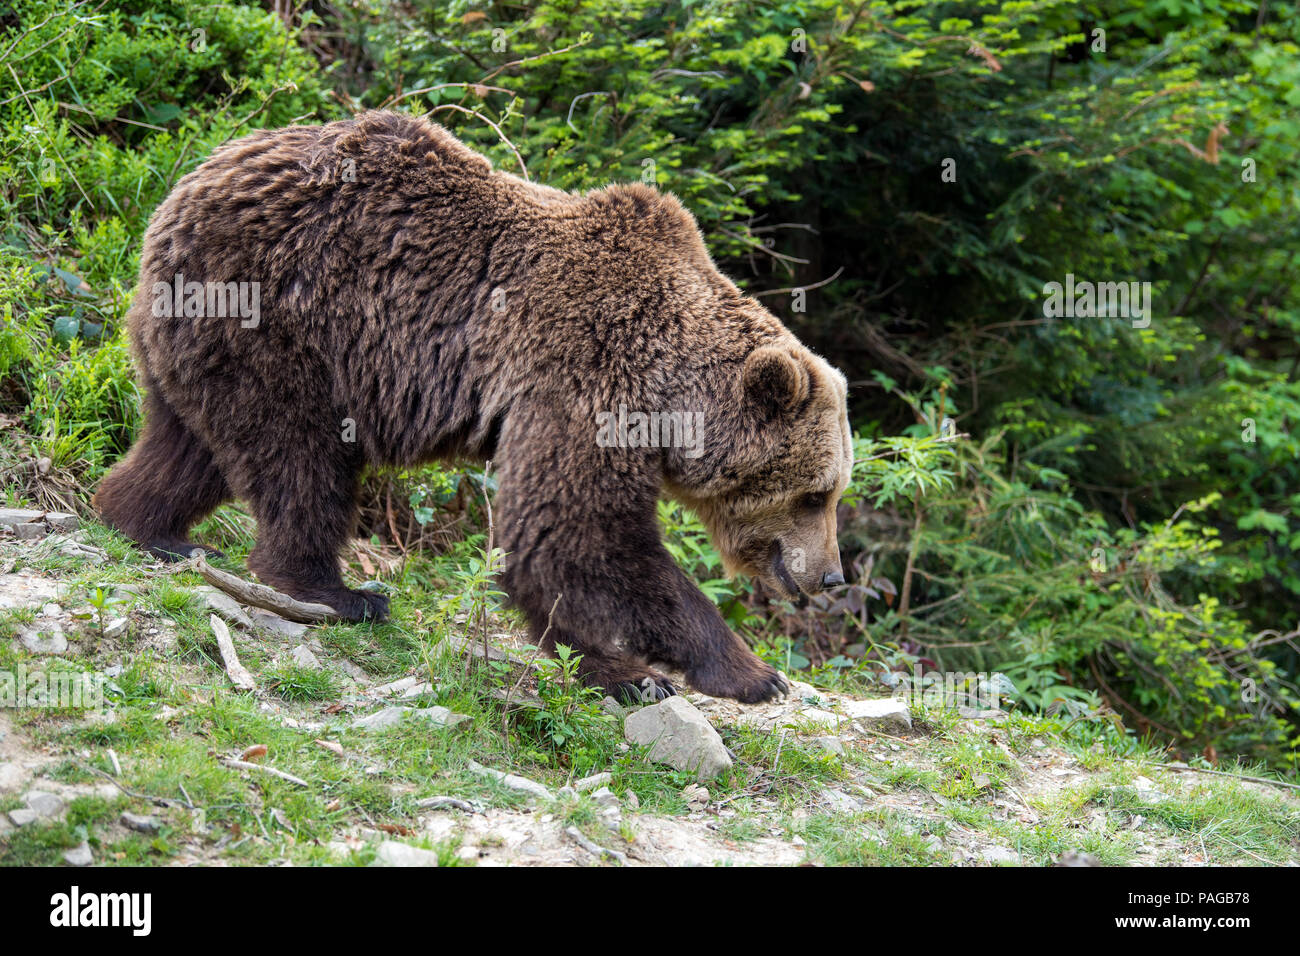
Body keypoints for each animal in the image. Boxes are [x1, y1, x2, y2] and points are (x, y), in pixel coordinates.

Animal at [94, 111, 852, 704]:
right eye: (816, 494)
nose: (832, 575)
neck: (669, 386)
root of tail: (186, 186)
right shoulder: (582, 377)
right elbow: (576, 533)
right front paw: (725, 672)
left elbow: (558, 544)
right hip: (282, 320)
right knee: (299, 457)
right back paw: (338, 592)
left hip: (202, 338)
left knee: (190, 443)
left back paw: (149, 526)